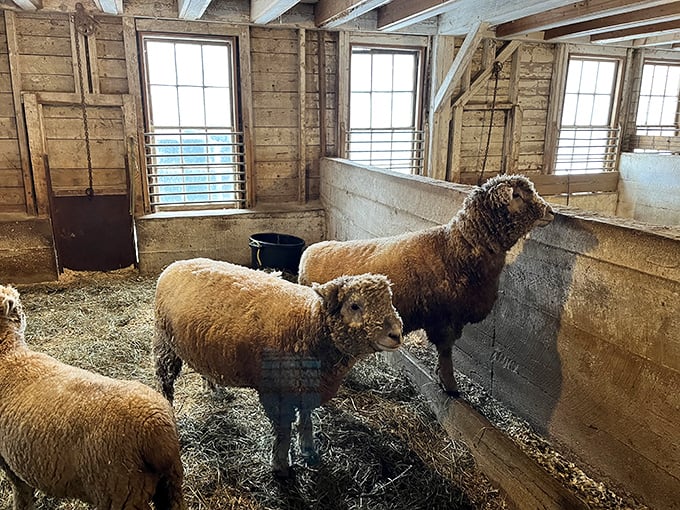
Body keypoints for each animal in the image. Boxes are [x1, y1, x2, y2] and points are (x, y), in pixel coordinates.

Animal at [0, 284, 186, 510]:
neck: (9, 355)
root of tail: (157, 430)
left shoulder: (7, 461)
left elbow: (21, 491)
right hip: (170, 483)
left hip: (121, 491)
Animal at [153, 258, 403, 478]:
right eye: (354, 306)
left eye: (389, 301)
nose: (396, 334)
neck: (308, 322)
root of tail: (175, 264)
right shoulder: (277, 391)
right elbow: (283, 431)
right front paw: (280, 465)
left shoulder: (305, 386)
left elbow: (306, 420)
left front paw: (308, 449)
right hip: (165, 342)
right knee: (164, 382)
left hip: (201, 346)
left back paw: (215, 389)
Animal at [298, 174, 554, 397]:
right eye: (517, 195)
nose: (551, 212)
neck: (454, 248)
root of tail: (309, 251)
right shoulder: (443, 319)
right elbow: (446, 352)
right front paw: (450, 386)